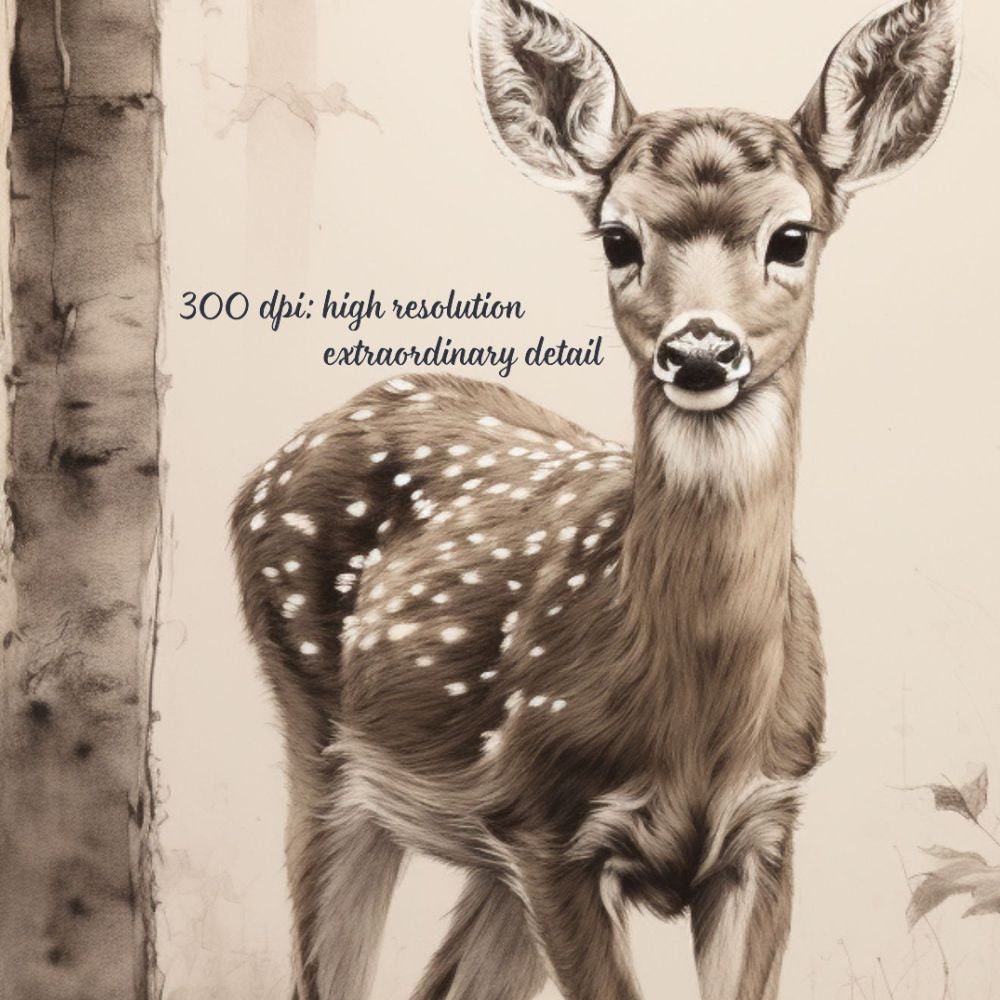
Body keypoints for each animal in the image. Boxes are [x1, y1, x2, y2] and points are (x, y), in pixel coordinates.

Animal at [230, 0, 961, 997]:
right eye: (620, 238)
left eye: (792, 236)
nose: (701, 352)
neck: (697, 724)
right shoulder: (550, 826)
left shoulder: (766, 827)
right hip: (324, 733)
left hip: (484, 839)